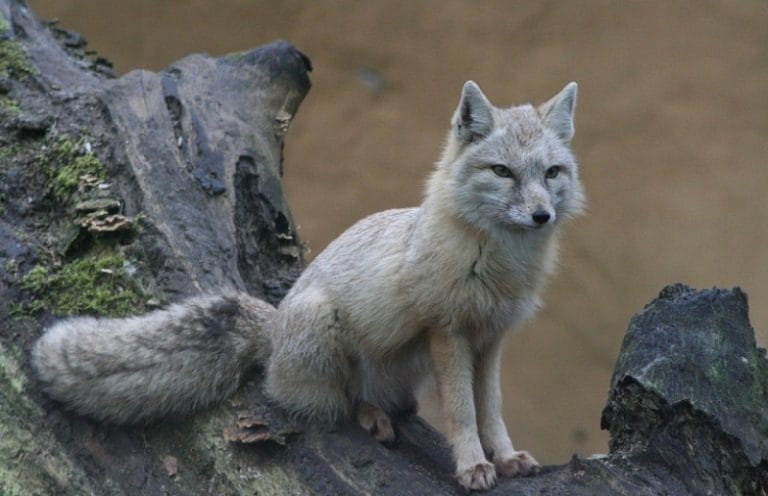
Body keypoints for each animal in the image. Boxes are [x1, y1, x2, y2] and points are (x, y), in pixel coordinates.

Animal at [31, 80, 583, 491]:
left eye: (552, 173)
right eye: (503, 171)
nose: (542, 215)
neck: (499, 265)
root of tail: (274, 328)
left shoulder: (490, 339)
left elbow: (491, 409)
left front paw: (506, 457)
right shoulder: (448, 333)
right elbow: (463, 412)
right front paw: (472, 466)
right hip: (326, 328)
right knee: (327, 399)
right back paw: (369, 414)